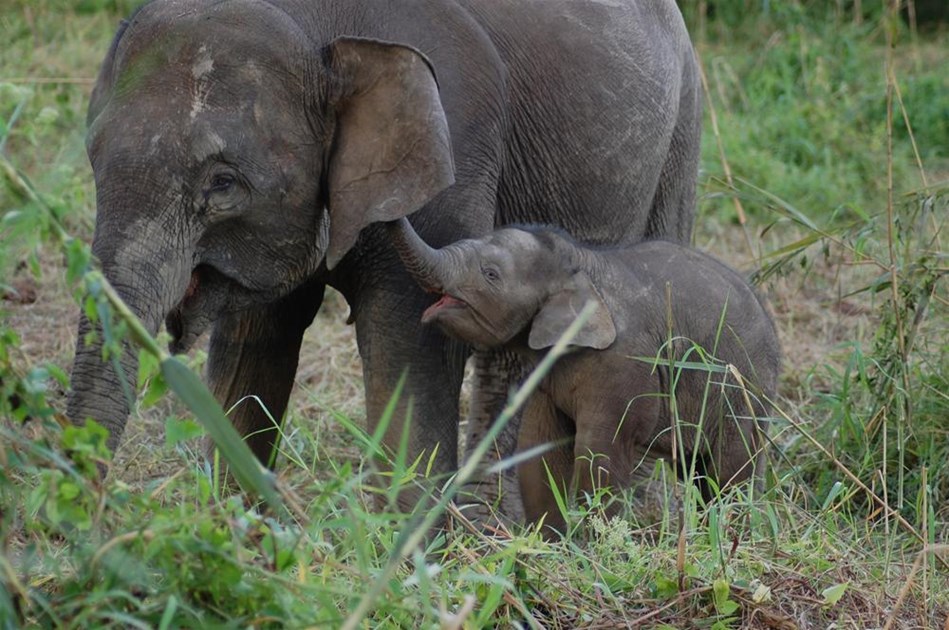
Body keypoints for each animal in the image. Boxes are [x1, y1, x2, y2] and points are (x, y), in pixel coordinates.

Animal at [66, 0, 702, 508]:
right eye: (92, 156)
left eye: (223, 184)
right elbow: (257, 341)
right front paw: (234, 521)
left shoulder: (453, 157)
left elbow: (409, 340)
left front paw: (406, 545)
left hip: (682, 129)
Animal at [388, 217, 781, 532]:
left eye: (491, 274)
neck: (581, 263)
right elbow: (540, 449)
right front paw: (548, 545)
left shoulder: (624, 363)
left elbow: (599, 452)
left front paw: (594, 545)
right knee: (697, 470)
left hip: (745, 390)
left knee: (730, 469)